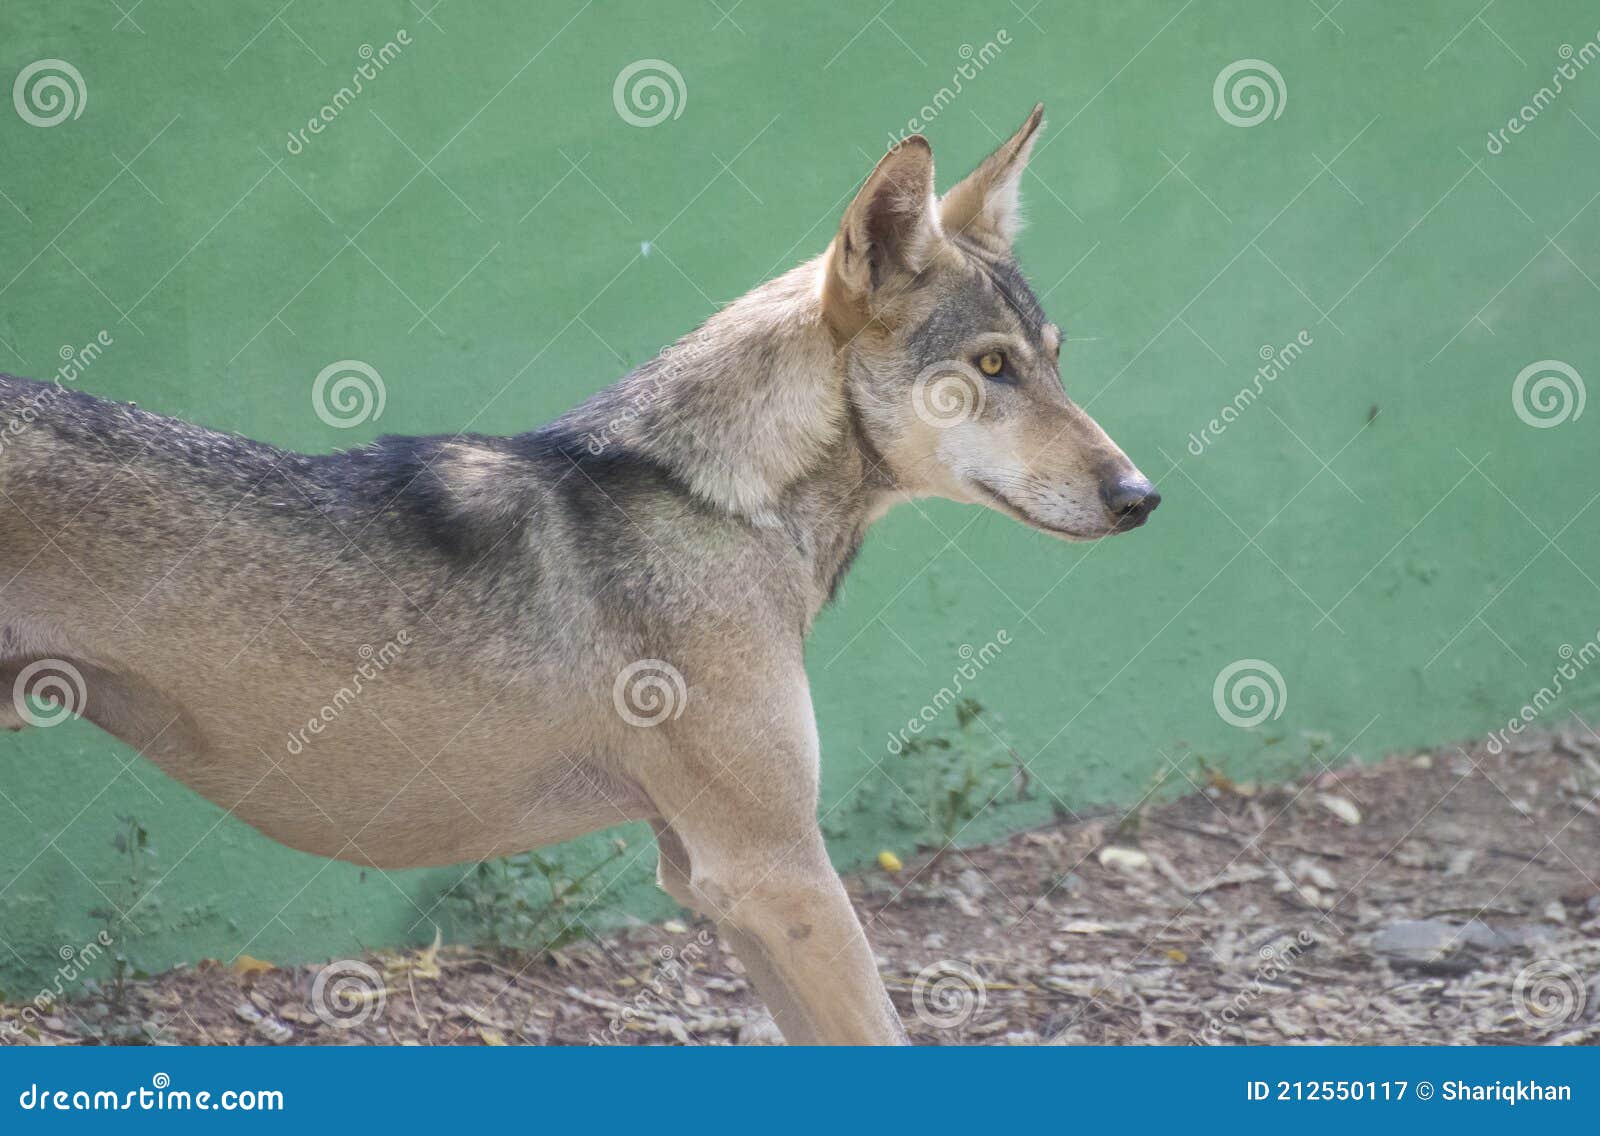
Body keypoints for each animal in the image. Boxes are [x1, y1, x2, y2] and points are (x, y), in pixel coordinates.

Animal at [0, 105, 1157, 1044]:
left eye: (1056, 359)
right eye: (992, 367)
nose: (1141, 496)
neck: (720, 500)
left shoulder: (719, 881)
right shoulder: (778, 872)